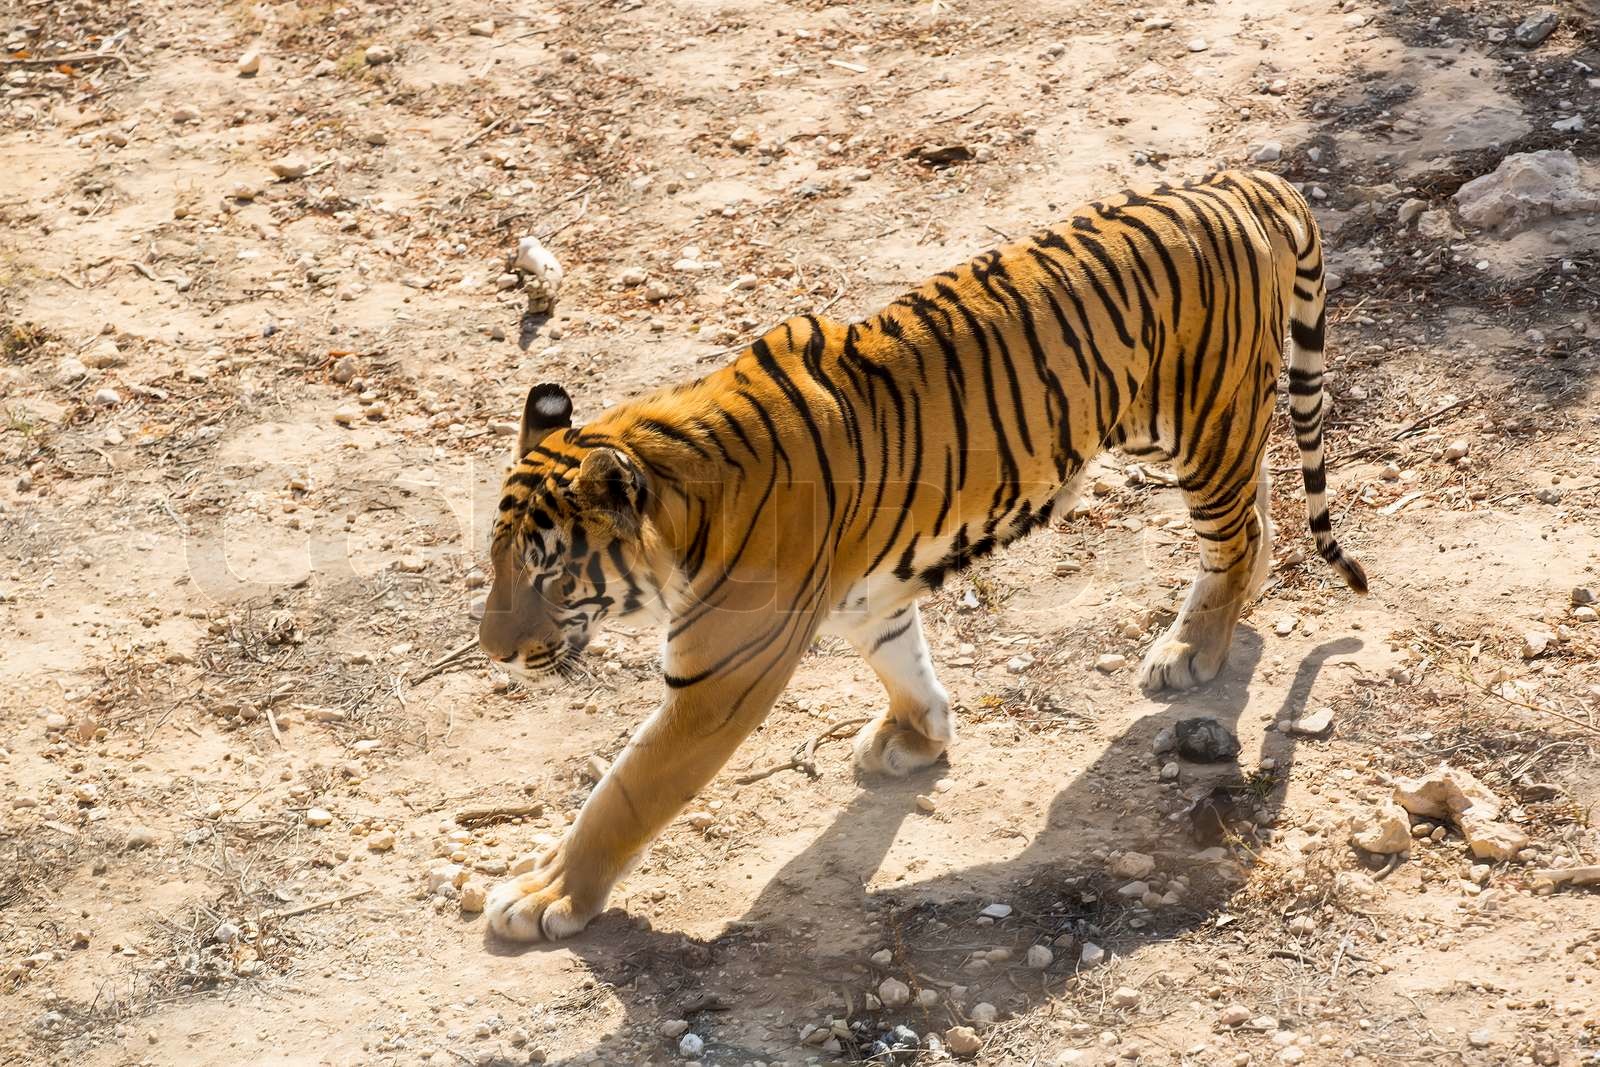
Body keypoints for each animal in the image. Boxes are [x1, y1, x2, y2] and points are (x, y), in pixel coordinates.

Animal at [476, 168, 1368, 941]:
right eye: (498, 563)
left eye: (548, 570)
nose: (493, 652)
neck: (682, 487)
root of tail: (1237, 180)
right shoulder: (867, 595)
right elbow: (900, 660)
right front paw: (917, 736)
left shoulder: (720, 678)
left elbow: (626, 790)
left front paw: (545, 894)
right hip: (1180, 427)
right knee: (1253, 514)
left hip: (1201, 421)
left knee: (1238, 528)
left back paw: (1190, 648)